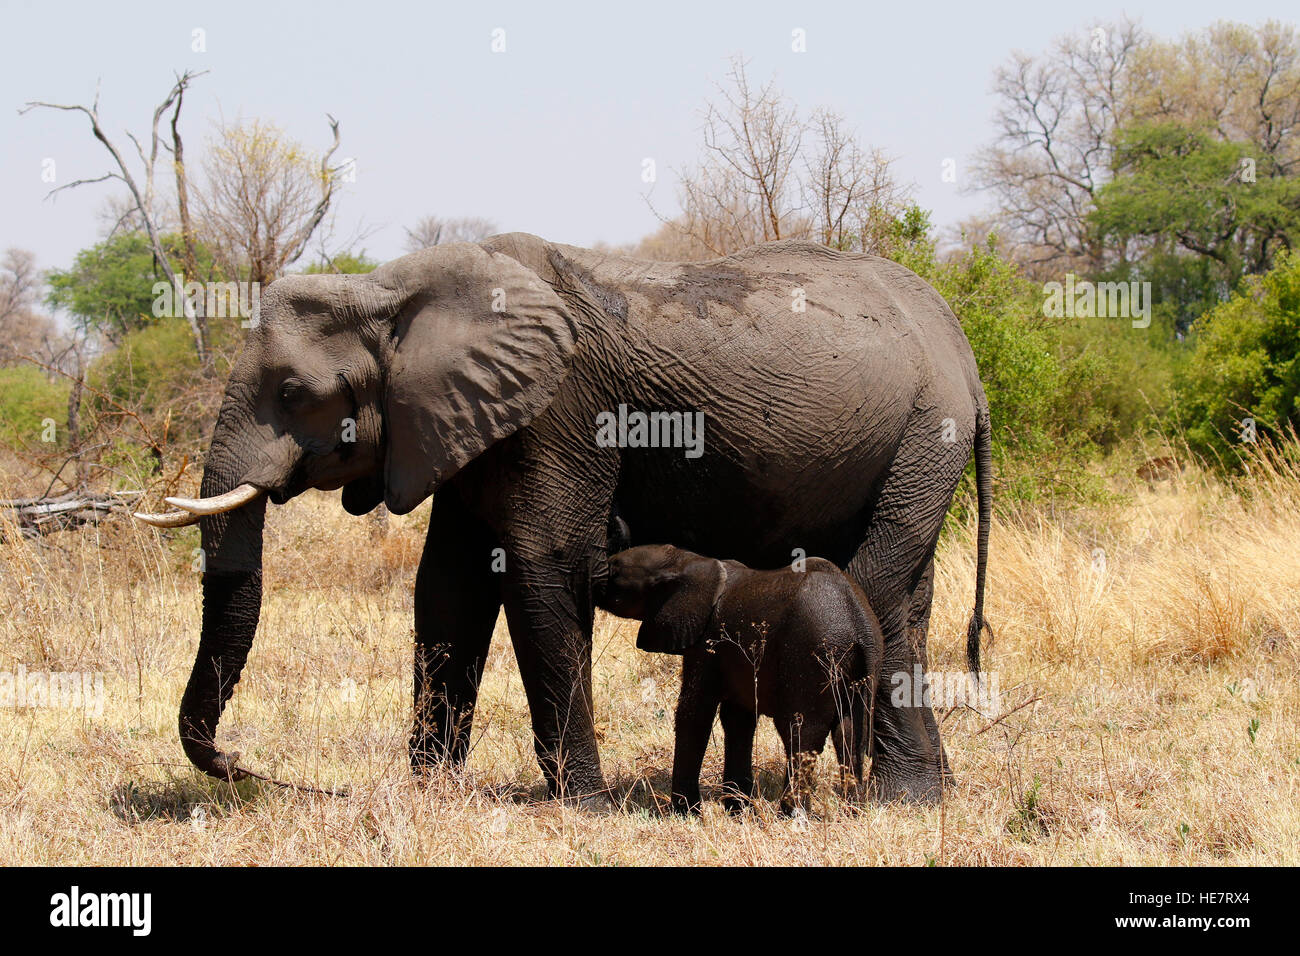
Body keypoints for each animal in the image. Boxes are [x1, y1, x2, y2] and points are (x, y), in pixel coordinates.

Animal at [598, 544, 884, 815]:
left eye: (614, 572)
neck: (689, 561)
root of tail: (859, 623)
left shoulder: (707, 643)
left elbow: (695, 712)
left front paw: (686, 813)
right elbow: (737, 718)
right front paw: (738, 811)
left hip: (810, 653)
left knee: (801, 732)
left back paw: (791, 816)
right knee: (849, 732)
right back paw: (852, 812)